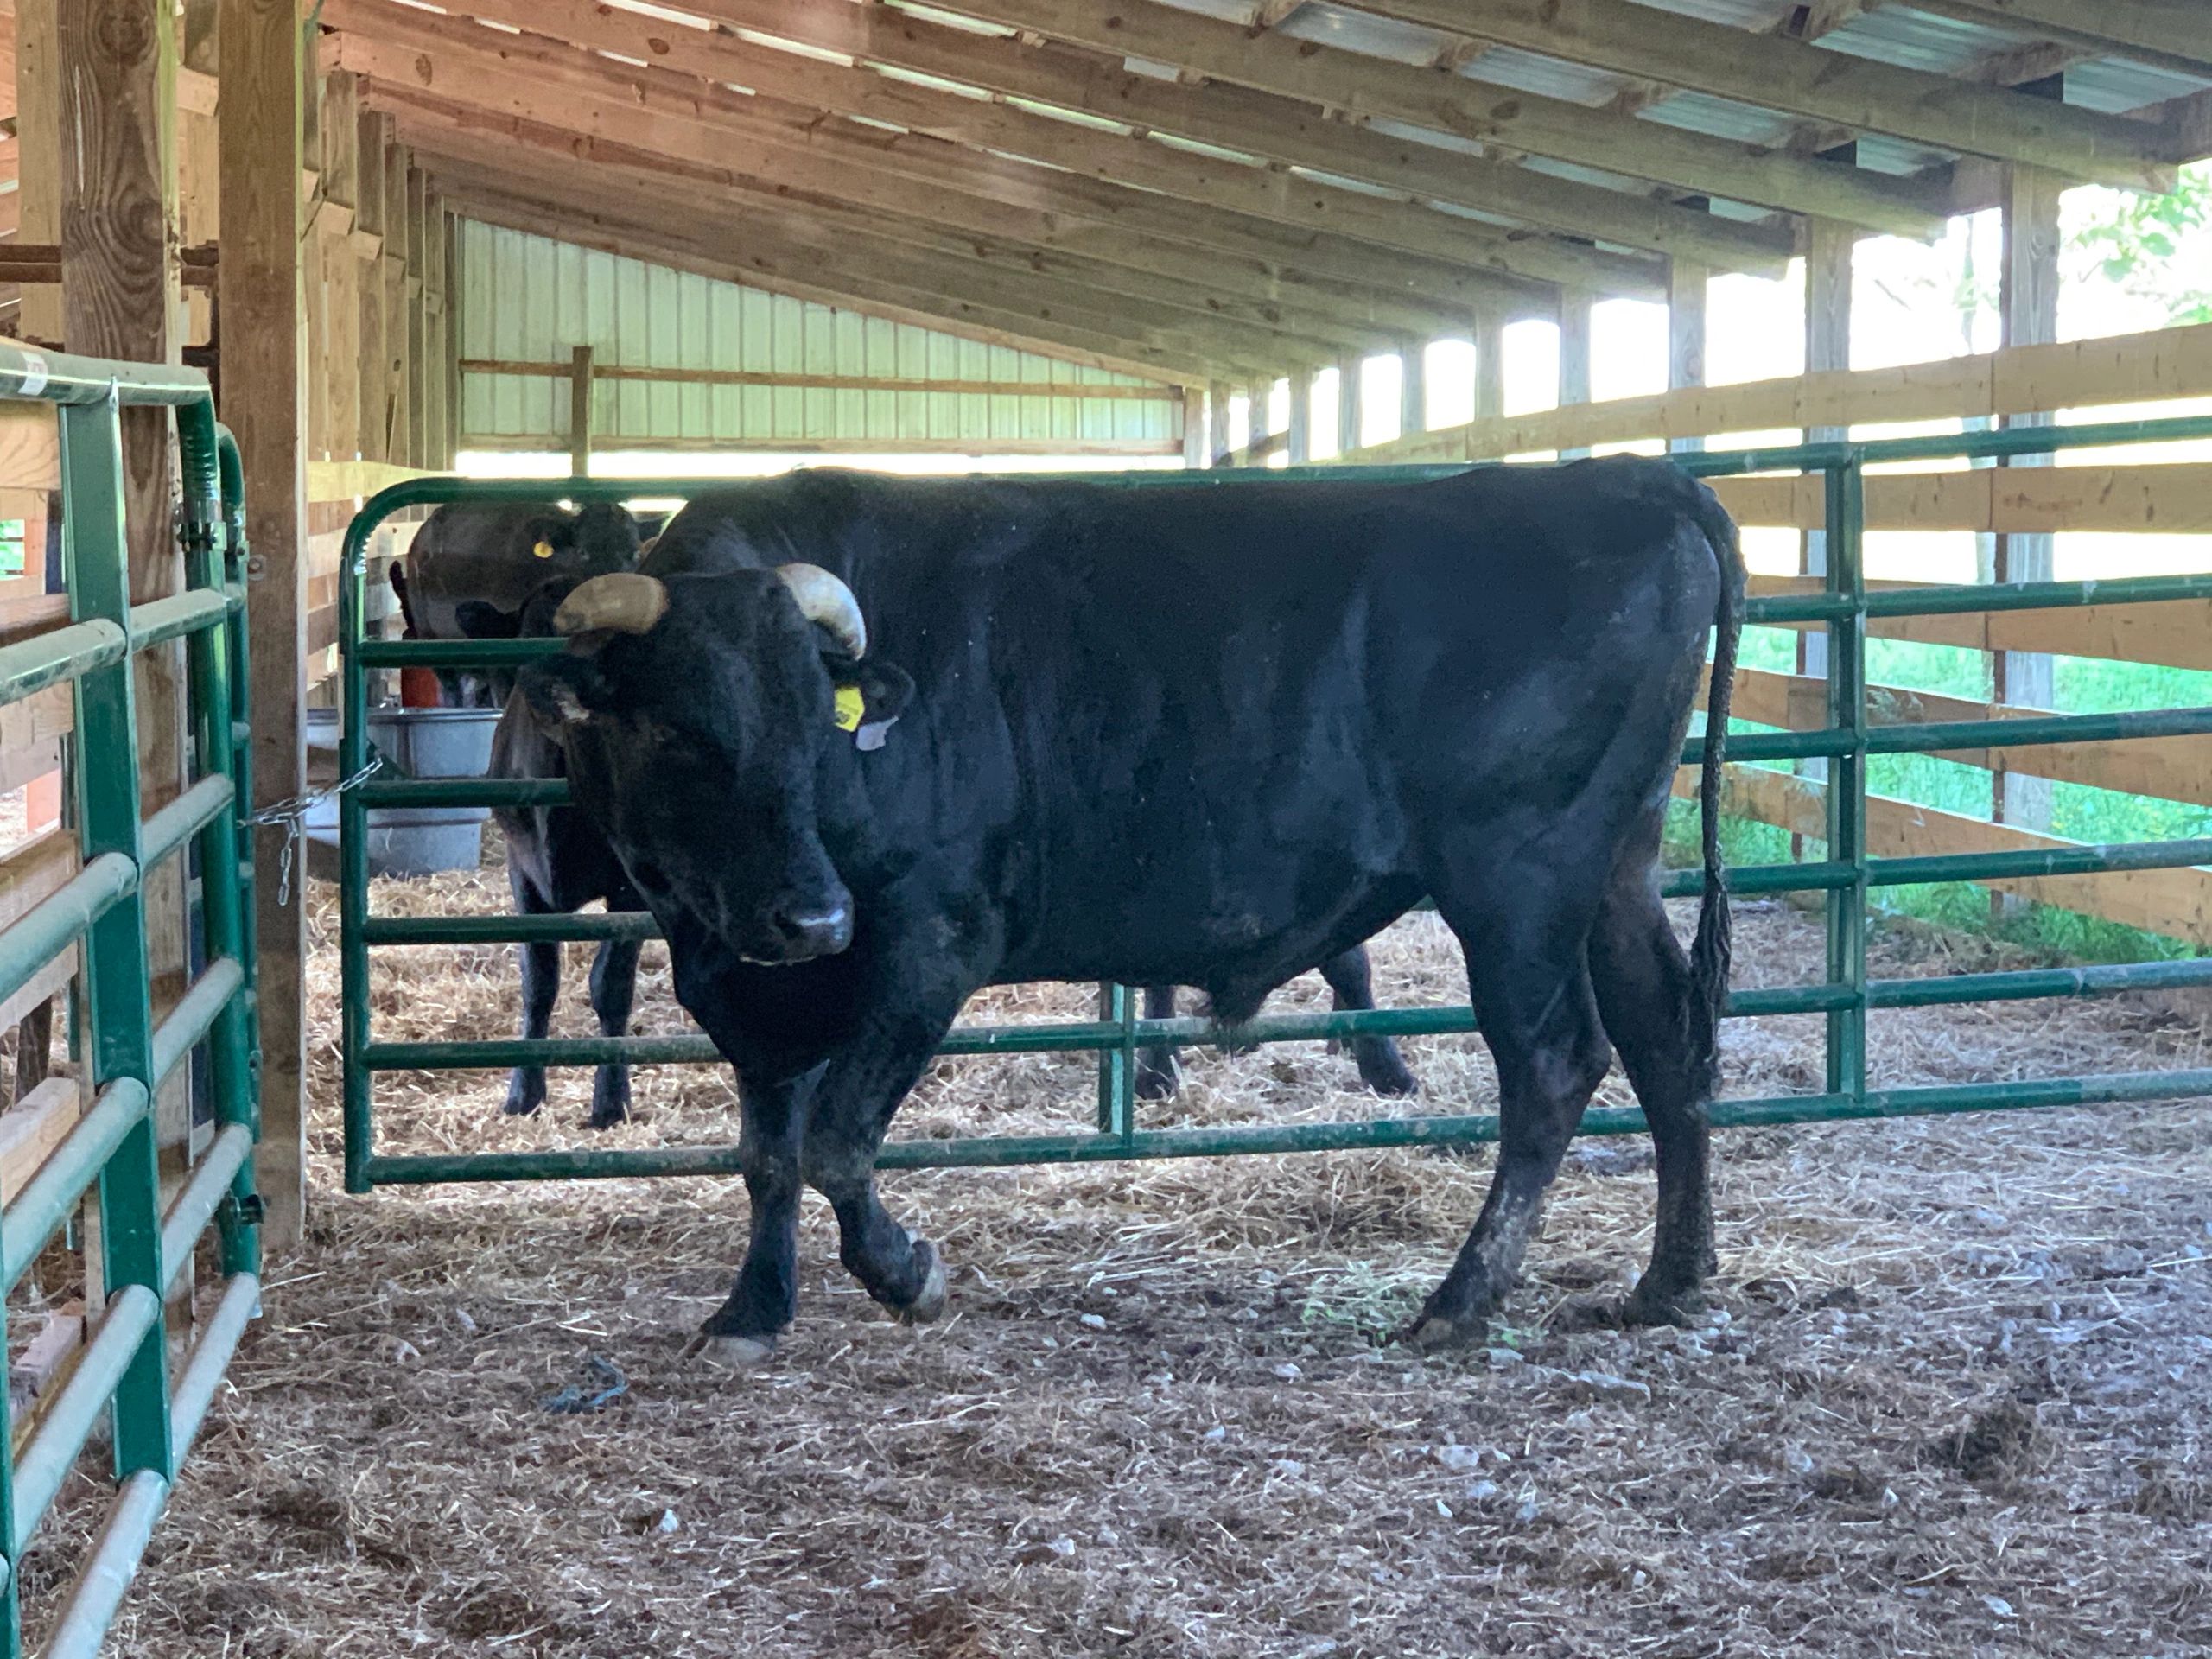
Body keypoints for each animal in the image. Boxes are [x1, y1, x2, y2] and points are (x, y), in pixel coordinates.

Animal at [509, 458, 1744, 1365]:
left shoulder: (928, 945)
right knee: (1663, 1040)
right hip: (1618, 866)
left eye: (819, 719)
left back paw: (1460, 1300)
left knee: (1553, 1062)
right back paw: (1668, 1281)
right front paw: (752, 1312)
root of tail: (1623, 476)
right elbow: (768, 1152)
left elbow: (836, 1141)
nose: (814, 919)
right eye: (675, 728)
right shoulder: (748, 986)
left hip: (1517, 878)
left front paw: (908, 1275)